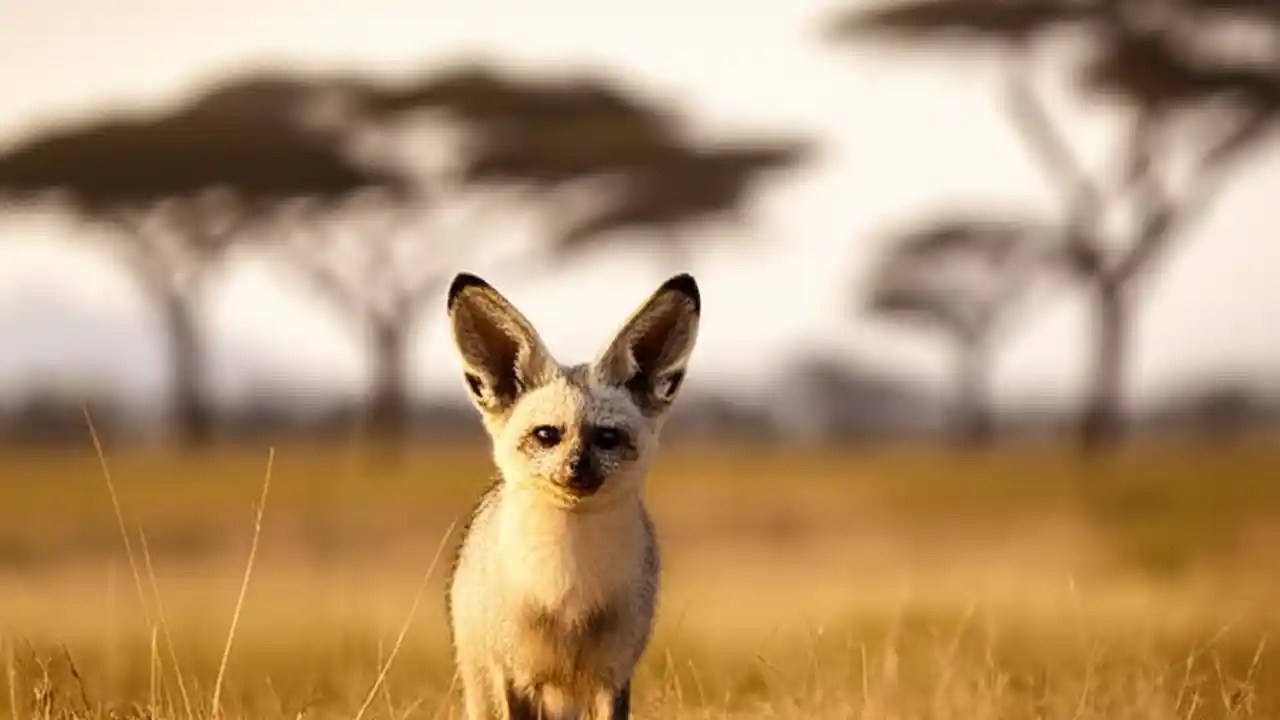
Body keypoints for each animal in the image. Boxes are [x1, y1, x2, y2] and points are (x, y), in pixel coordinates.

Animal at [444, 271, 700, 720]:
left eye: (607, 438)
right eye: (547, 435)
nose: (578, 467)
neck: (568, 597)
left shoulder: (612, 676)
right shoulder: (513, 676)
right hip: (483, 689)